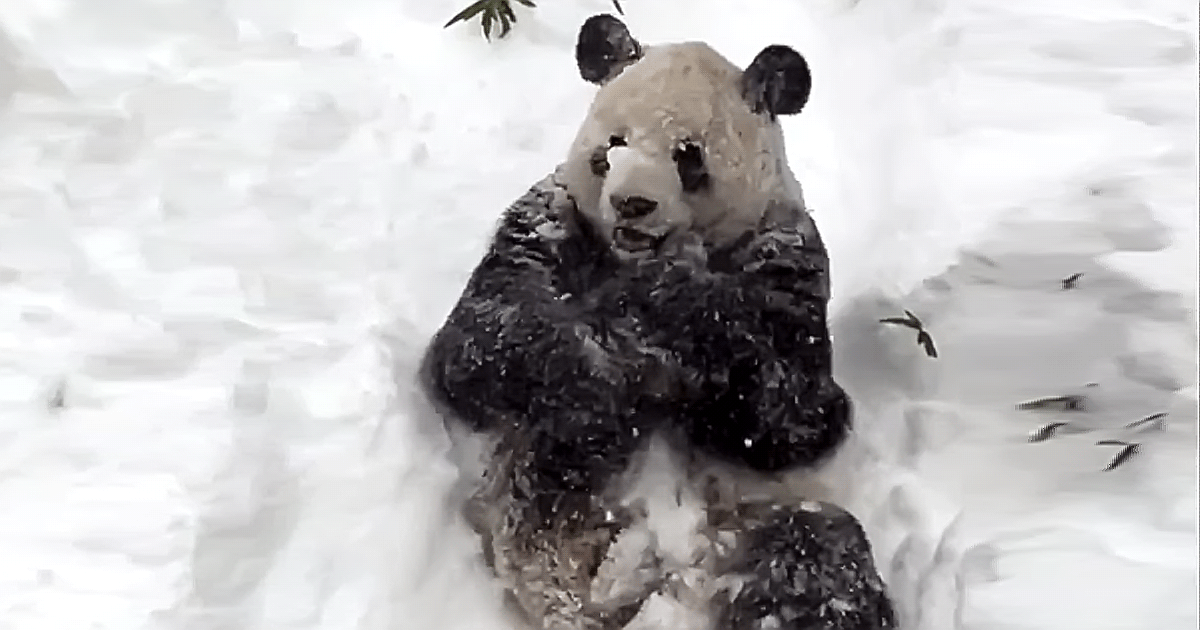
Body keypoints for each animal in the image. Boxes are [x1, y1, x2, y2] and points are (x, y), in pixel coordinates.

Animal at [419, 13, 895, 630]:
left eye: (688, 156)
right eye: (613, 145)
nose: (632, 204)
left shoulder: (790, 260)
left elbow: (793, 412)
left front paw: (658, 297)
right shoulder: (545, 222)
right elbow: (476, 344)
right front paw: (594, 376)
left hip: (772, 512)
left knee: (818, 557)